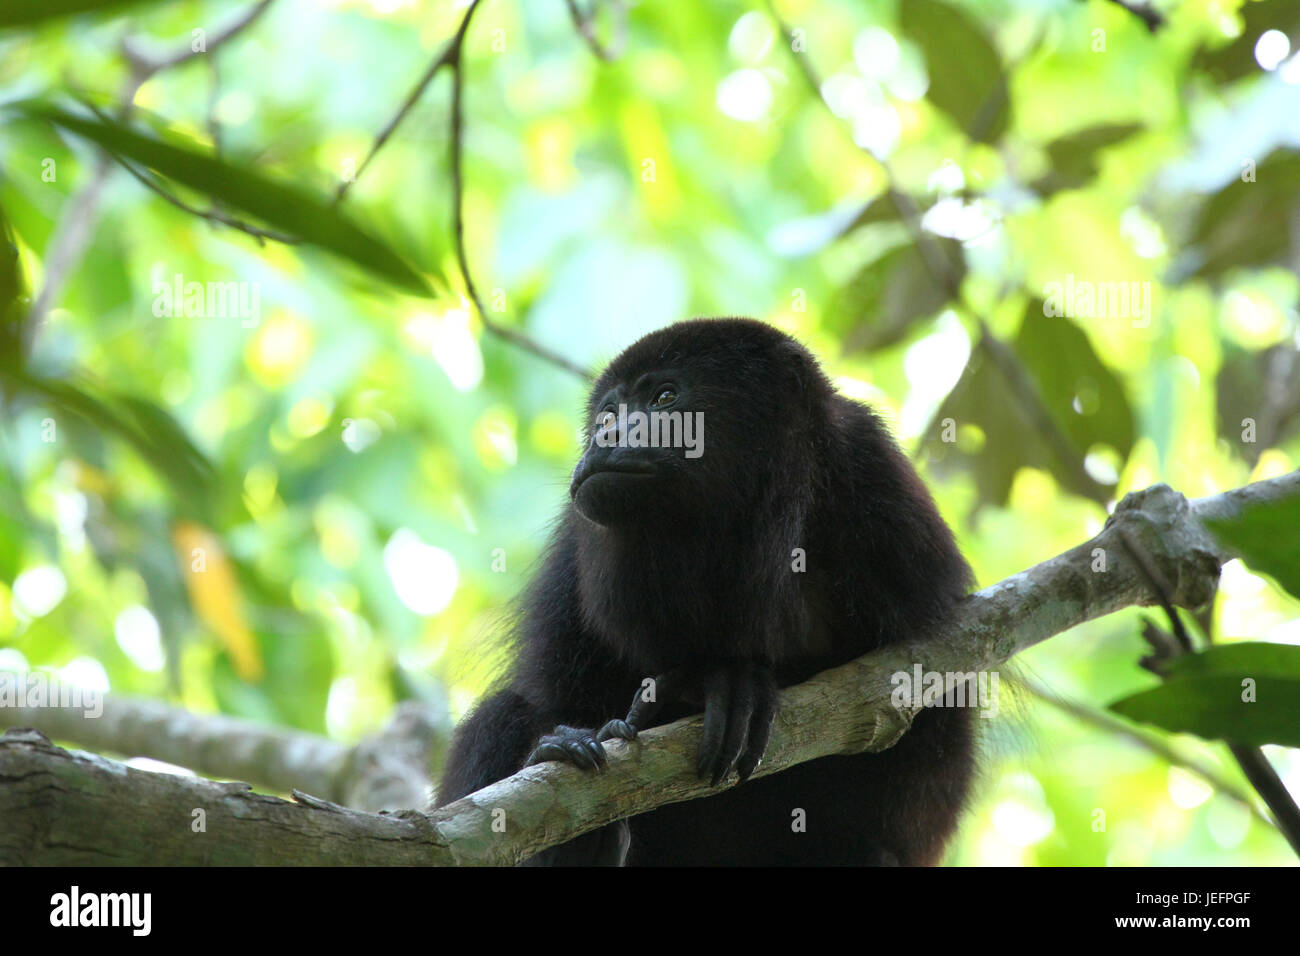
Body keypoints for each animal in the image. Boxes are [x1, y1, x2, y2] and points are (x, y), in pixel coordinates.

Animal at [433, 317, 976, 865]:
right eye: (608, 411)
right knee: (504, 713)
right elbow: (549, 694)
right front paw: (712, 682)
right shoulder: (574, 548)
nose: (606, 434)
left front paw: (731, 684)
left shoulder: (885, 506)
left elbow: (922, 718)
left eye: (664, 397)